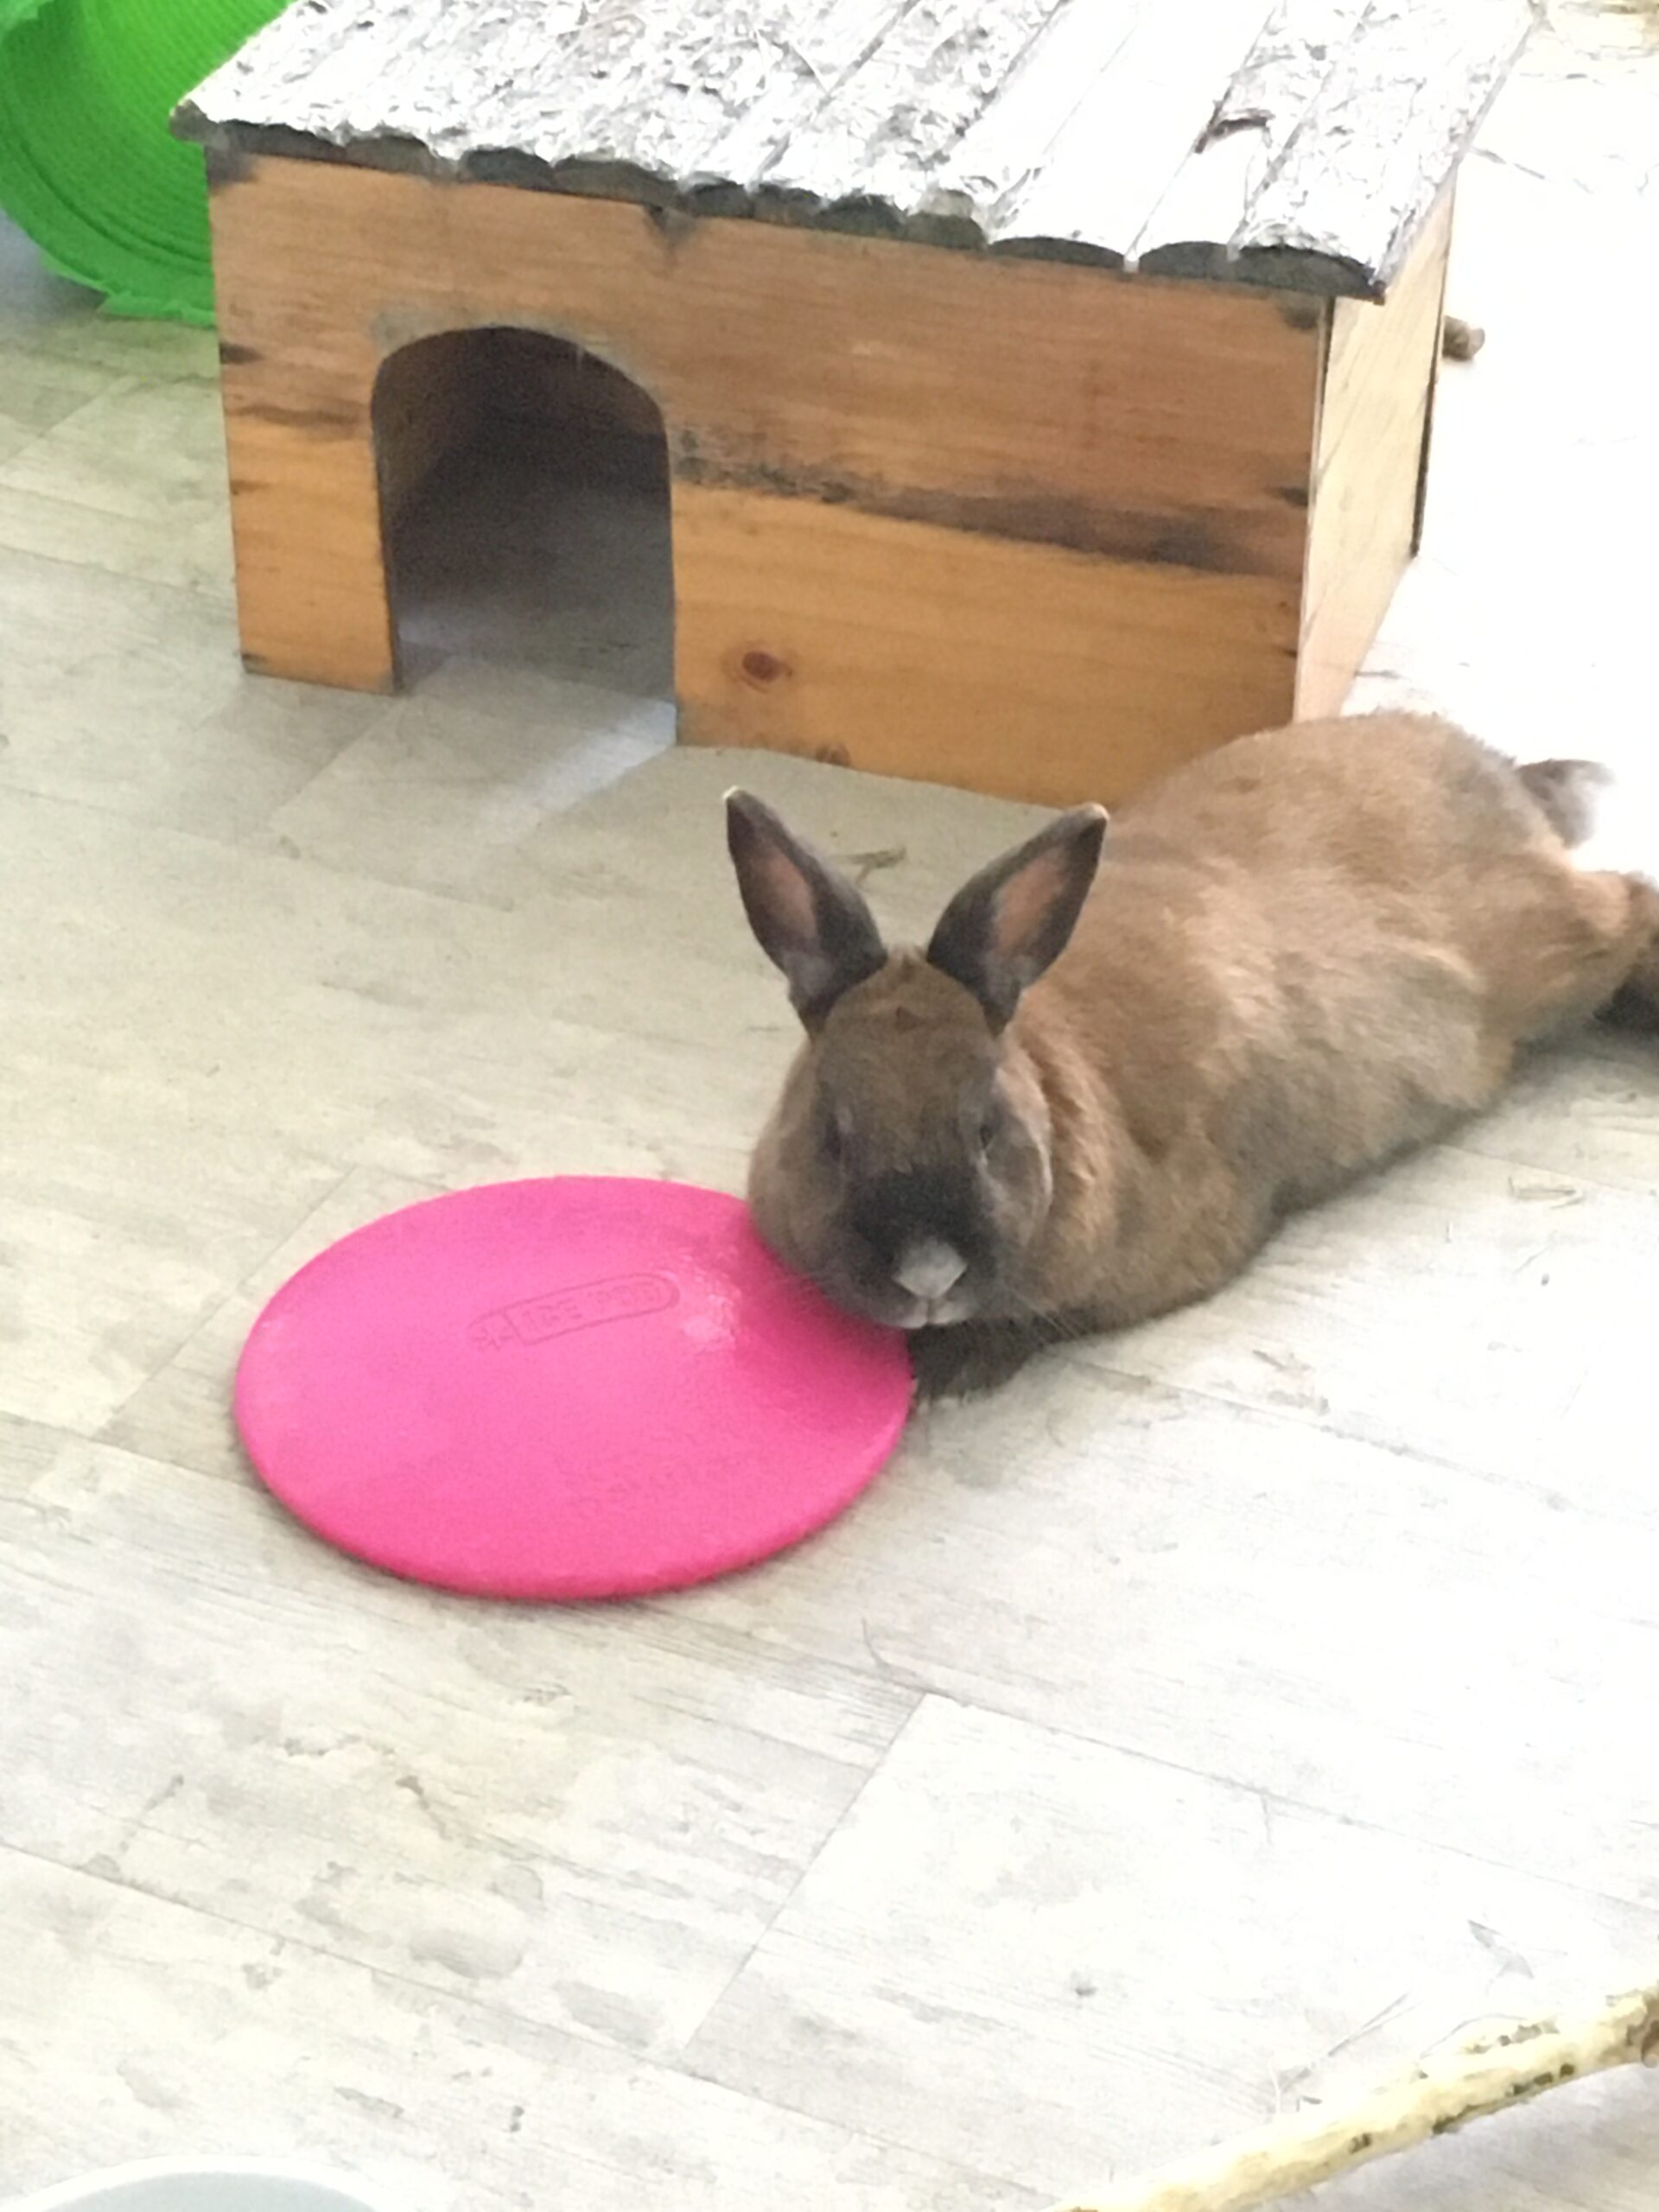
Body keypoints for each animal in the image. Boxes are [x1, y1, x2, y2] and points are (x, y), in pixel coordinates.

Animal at [725, 712, 1659, 1398]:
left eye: (986, 1131)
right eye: (832, 1137)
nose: (926, 1274)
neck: (1058, 1079)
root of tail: (1505, 775)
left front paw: (944, 1372)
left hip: (1550, 947)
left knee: (1630, 903)